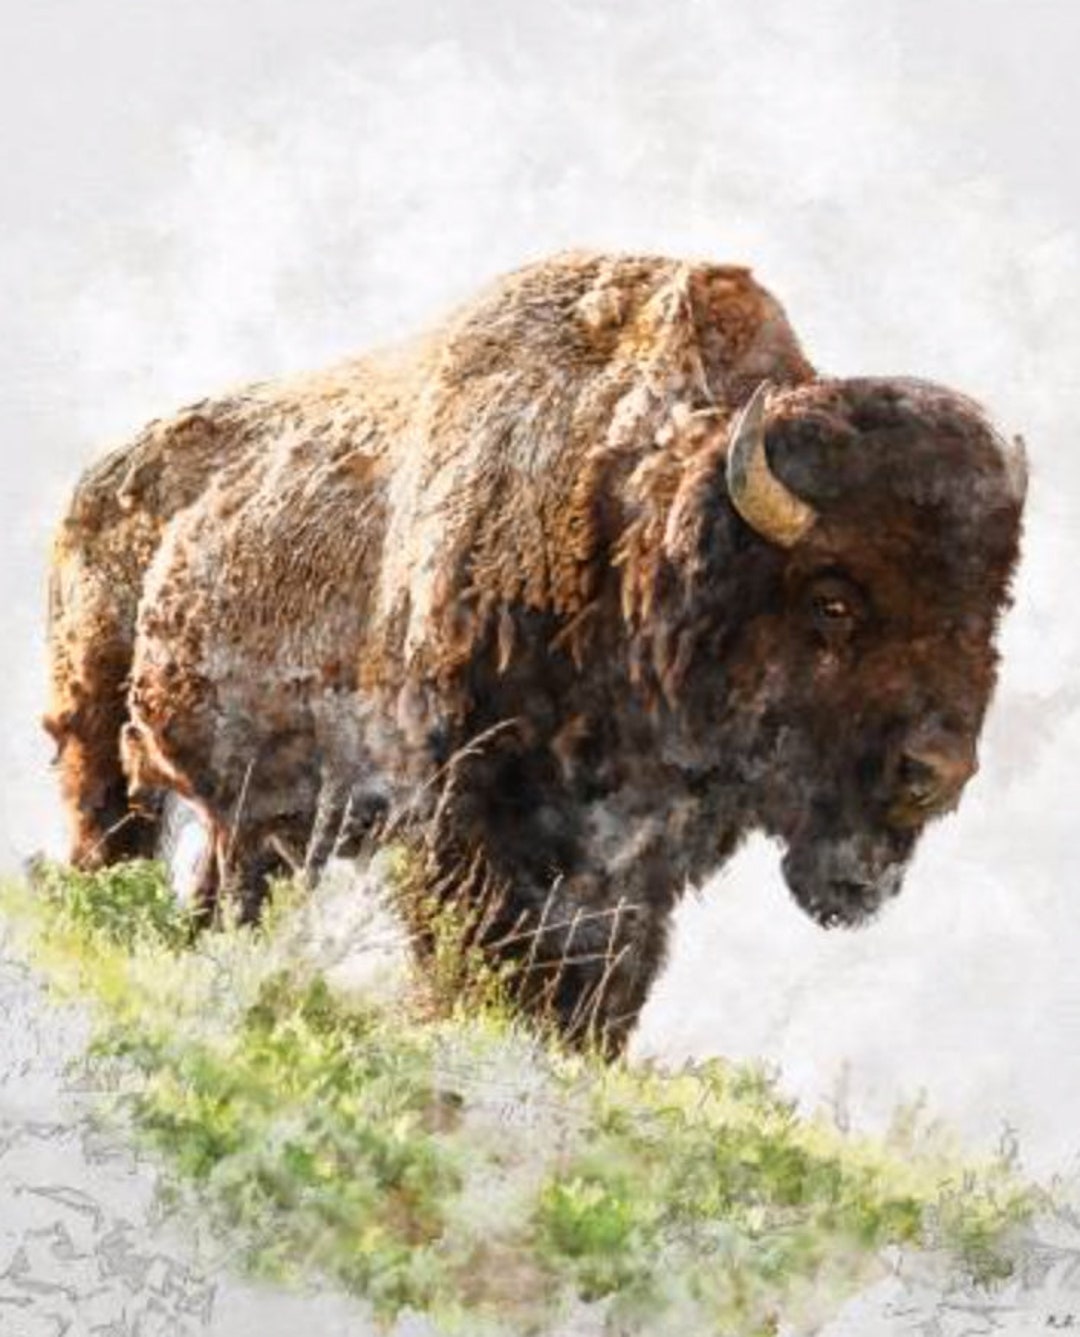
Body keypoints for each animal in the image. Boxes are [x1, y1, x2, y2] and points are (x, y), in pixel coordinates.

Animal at [45, 251, 1026, 1052]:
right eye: (832, 601)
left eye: (989, 615)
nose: (935, 771)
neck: (633, 536)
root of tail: (98, 481)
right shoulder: (467, 820)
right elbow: (481, 953)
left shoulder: (639, 869)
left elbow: (605, 982)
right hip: (100, 741)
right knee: (115, 836)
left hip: (262, 824)